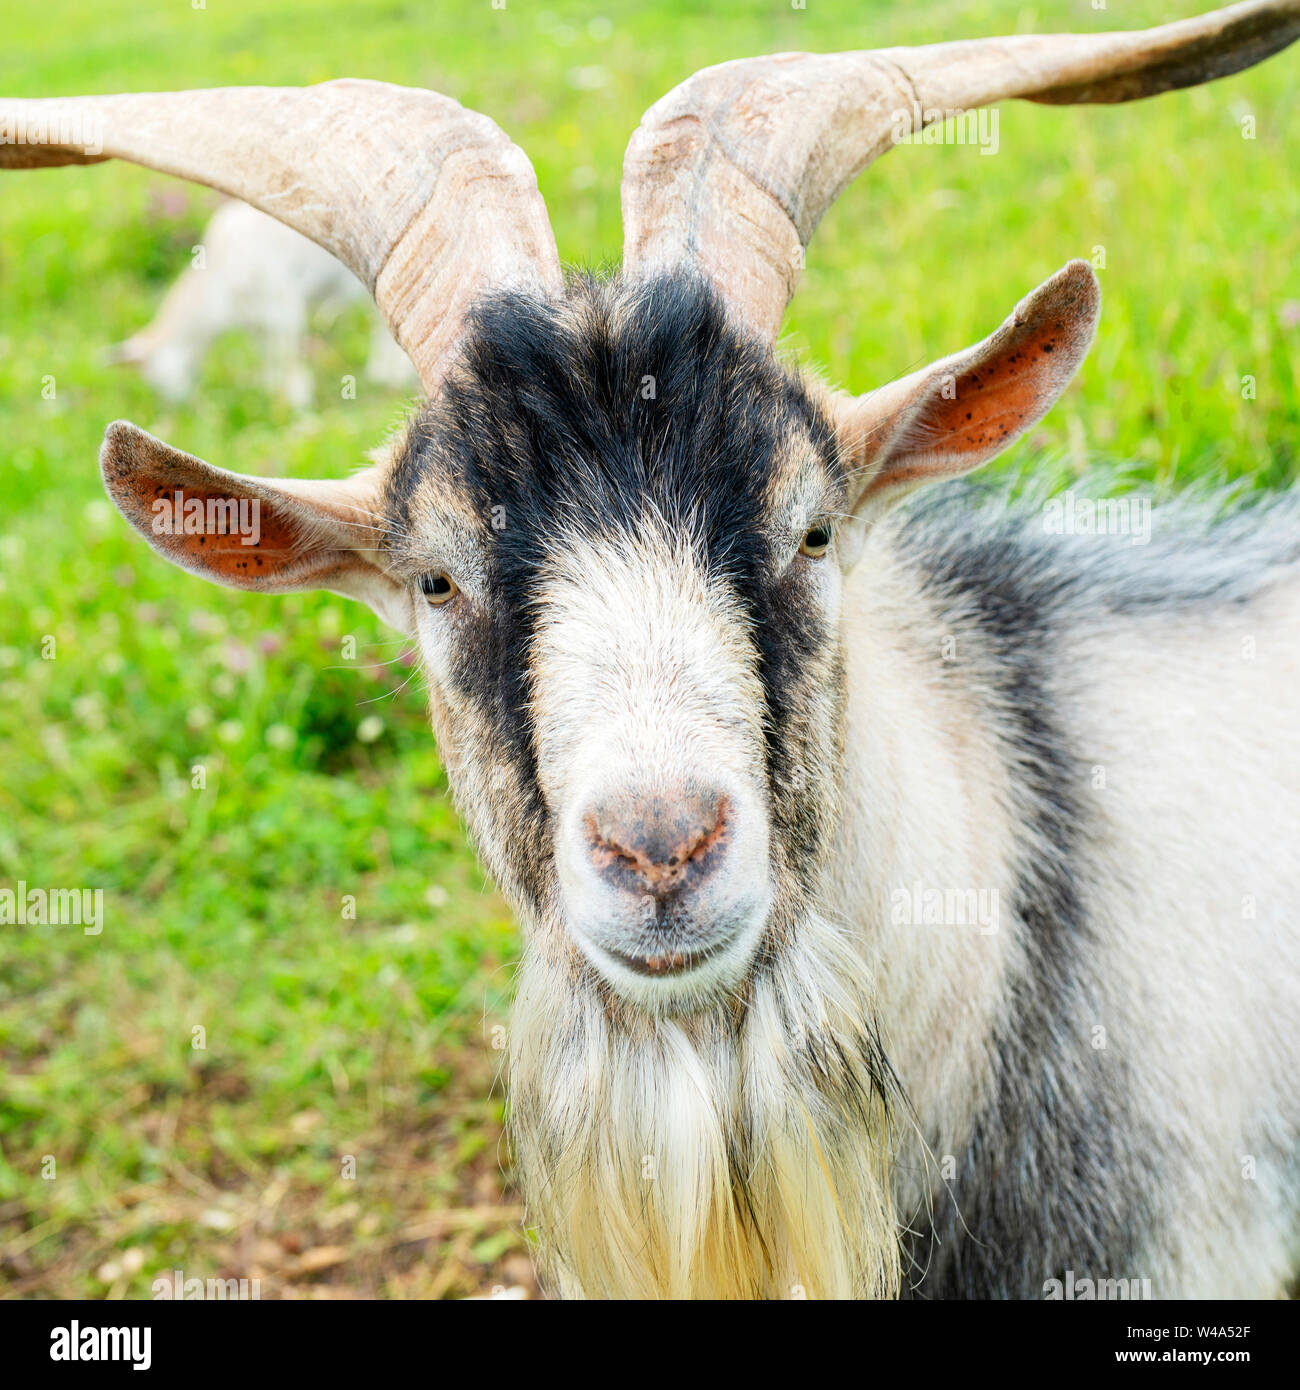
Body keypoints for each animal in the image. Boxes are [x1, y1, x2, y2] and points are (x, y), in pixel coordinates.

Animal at [106, 199, 416, 405]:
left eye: (153, 377)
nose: (178, 406)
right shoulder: (257, 321)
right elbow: (267, 353)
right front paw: (269, 388)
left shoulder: (283, 307)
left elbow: (286, 355)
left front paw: (294, 399)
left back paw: (389, 375)